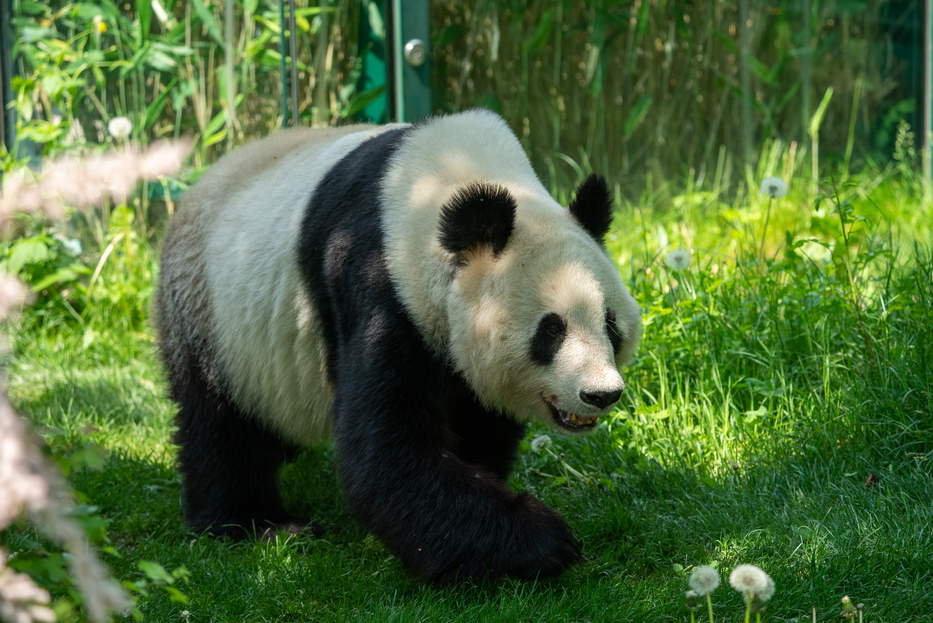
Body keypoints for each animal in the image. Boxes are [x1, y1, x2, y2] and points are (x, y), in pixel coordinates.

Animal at [154, 109, 642, 584]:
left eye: (610, 324)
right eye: (550, 331)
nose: (600, 394)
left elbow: (478, 421)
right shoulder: (378, 282)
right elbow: (385, 450)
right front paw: (543, 541)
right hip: (209, 314)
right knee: (219, 425)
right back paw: (256, 524)